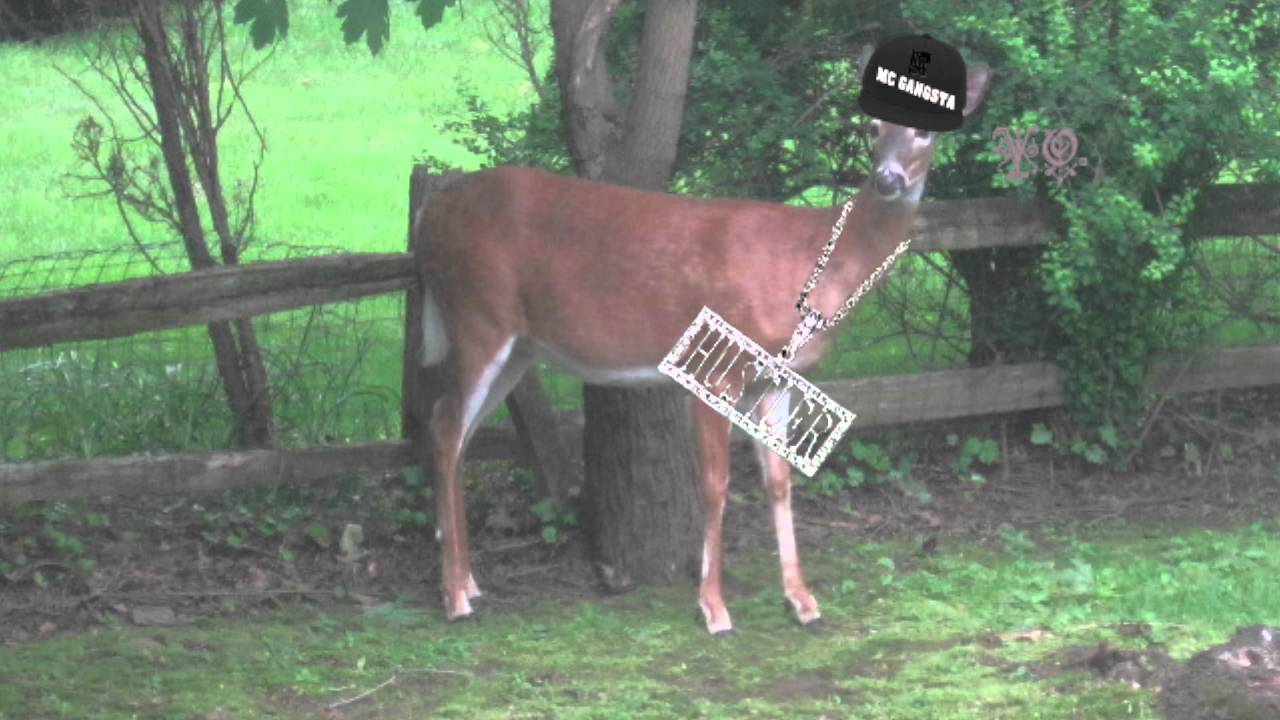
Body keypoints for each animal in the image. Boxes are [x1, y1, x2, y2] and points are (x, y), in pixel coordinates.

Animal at [413, 63, 990, 635]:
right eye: (871, 127)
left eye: (926, 131)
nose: (888, 179)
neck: (807, 264)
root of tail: (429, 214)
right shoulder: (714, 366)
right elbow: (715, 483)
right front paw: (713, 607)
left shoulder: (776, 377)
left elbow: (779, 480)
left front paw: (801, 600)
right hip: (478, 315)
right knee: (442, 426)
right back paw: (454, 595)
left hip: (519, 347)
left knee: (459, 432)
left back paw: (468, 583)